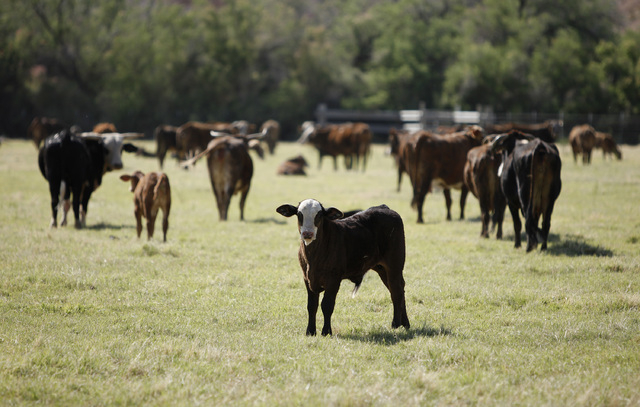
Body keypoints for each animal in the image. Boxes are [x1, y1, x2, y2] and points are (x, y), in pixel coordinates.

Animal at [276, 199, 410, 336]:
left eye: (319, 215)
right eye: (299, 214)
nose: (307, 233)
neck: (313, 257)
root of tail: (384, 208)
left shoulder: (333, 280)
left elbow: (327, 305)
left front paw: (326, 331)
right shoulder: (307, 279)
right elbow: (312, 306)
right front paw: (310, 331)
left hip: (394, 265)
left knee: (396, 292)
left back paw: (396, 324)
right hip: (382, 268)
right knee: (398, 289)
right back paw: (405, 323)